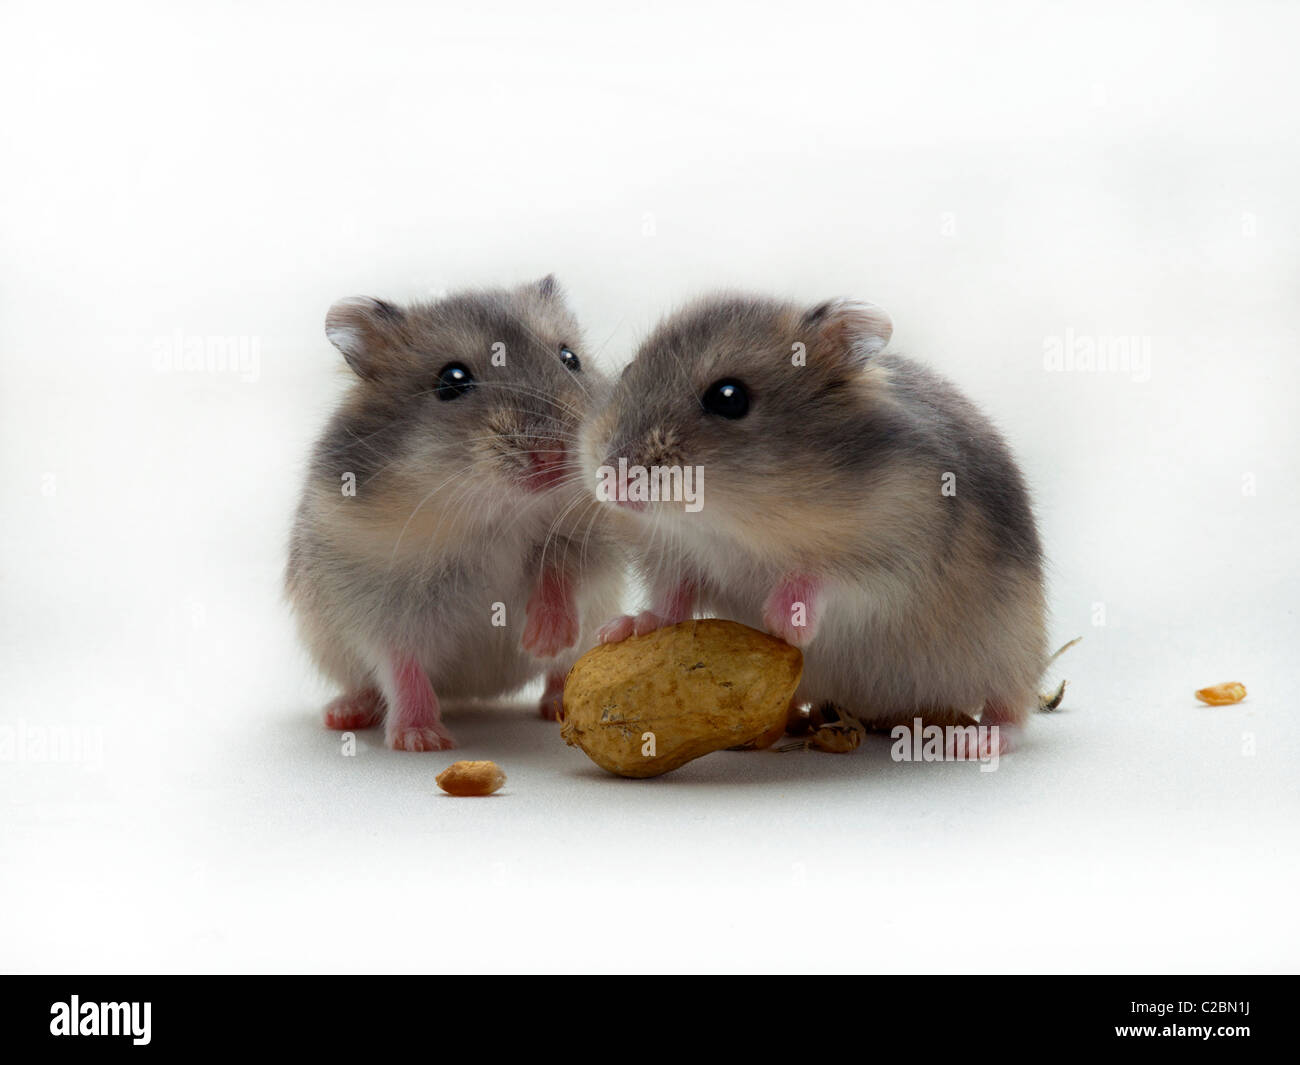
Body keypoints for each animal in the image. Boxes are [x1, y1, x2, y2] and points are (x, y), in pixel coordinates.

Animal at [286, 276, 623, 751]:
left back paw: (557, 702)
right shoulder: (375, 600)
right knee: (371, 684)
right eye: (452, 380)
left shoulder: (592, 540)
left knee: (563, 669)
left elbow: (560, 571)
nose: (553, 457)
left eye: (569, 358)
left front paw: (542, 642)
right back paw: (344, 714)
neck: (495, 513)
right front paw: (420, 740)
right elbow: (401, 667)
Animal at [581, 293, 1047, 751]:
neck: (735, 527)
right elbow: (671, 600)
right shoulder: (677, 556)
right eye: (628, 371)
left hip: (1012, 648)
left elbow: (830, 577)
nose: (612, 481)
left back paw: (975, 741)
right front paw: (620, 629)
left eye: (728, 397)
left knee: (1014, 709)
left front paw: (780, 620)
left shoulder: (902, 556)